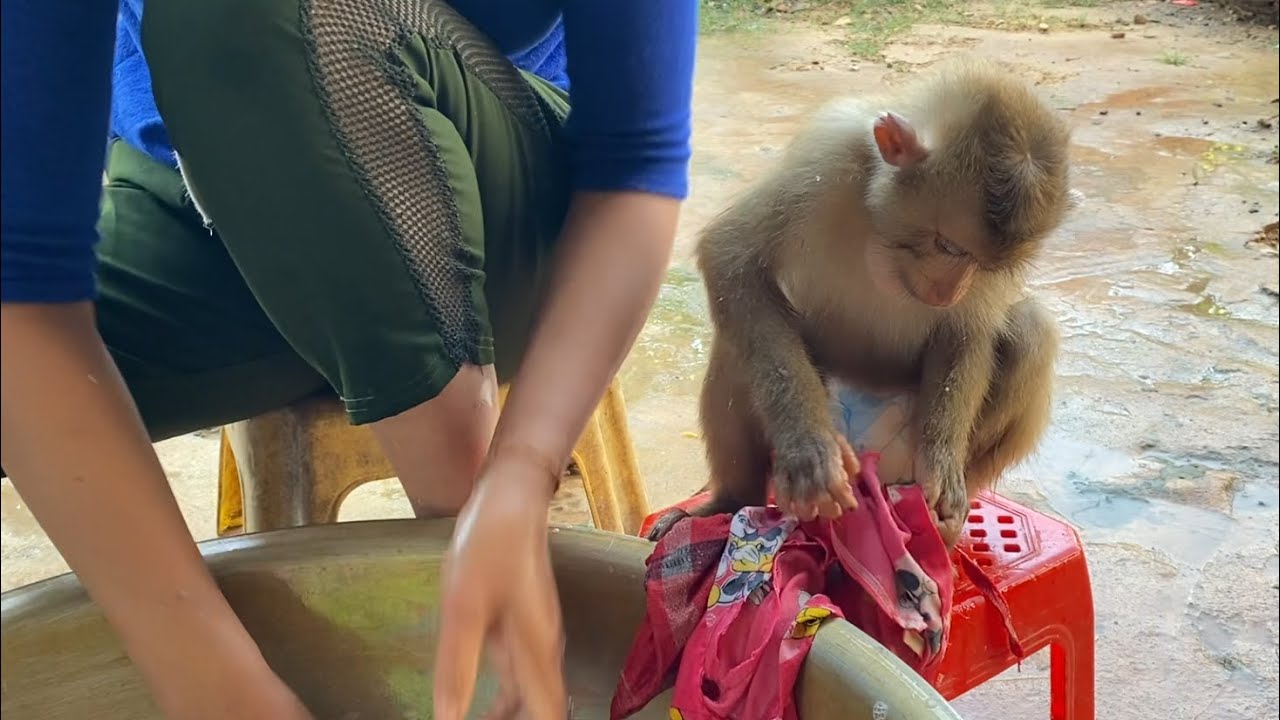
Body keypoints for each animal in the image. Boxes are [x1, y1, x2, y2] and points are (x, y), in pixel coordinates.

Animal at [647, 59, 1075, 547]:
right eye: (948, 246)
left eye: (985, 266)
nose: (950, 292)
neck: (882, 230)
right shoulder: (827, 157)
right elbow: (733, 260)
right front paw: (808, 448)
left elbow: (967, 331)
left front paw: (941, 466)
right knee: (739, 342)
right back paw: (731, 500)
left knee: (1031, 332)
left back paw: (943, 533)